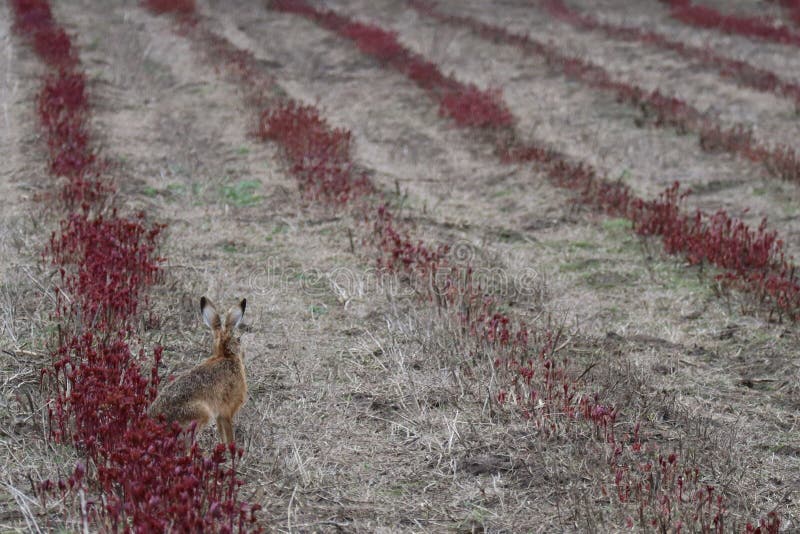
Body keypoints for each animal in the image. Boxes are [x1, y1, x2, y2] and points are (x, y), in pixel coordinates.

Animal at [148, 296, 248, 444]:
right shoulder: (226, 412)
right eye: (238, 339)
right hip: (199, 415)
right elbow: (229, 436)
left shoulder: (219, 415)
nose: (243, 351)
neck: (226, 356)